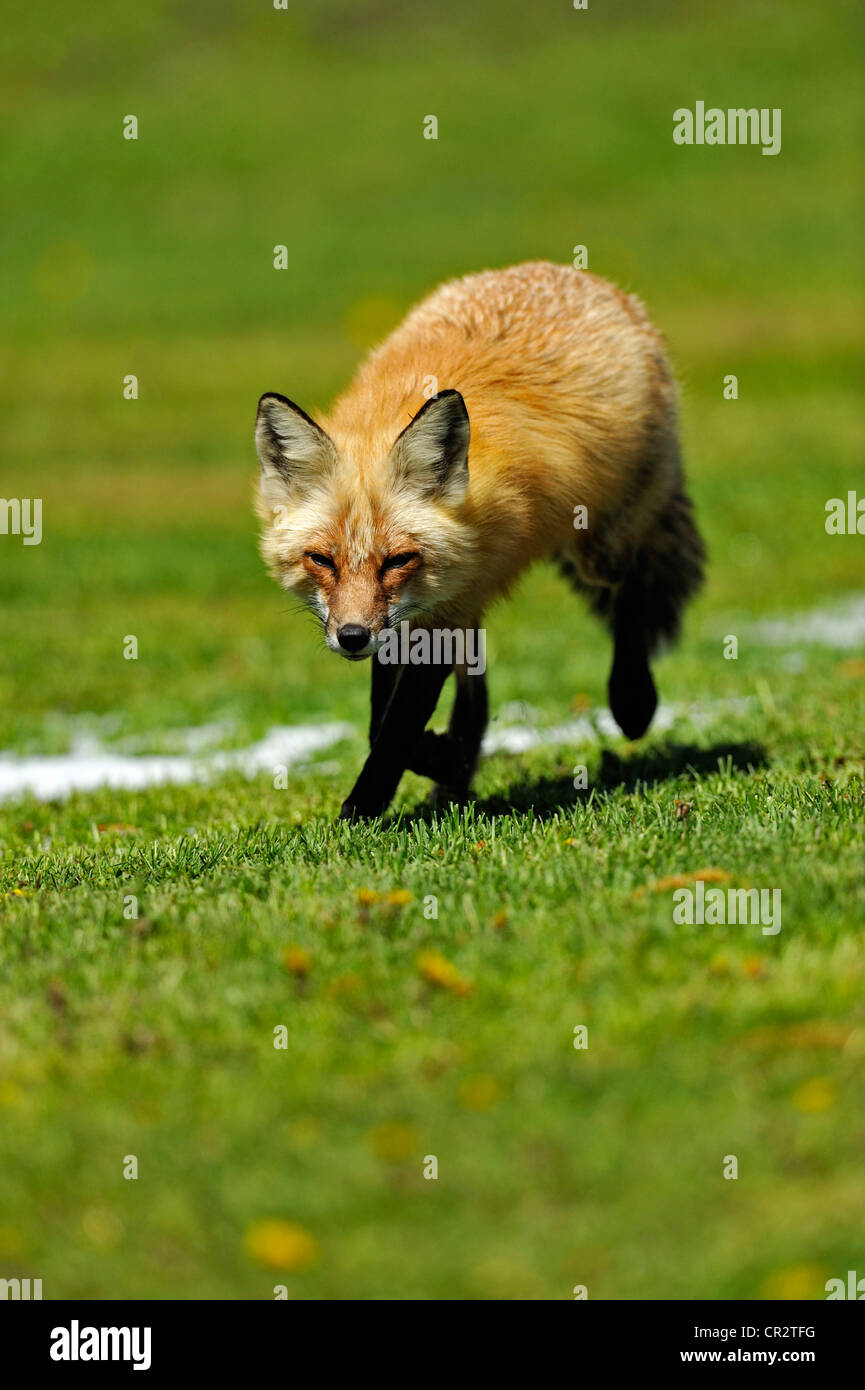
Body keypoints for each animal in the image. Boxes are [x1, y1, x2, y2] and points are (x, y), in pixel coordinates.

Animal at [254, 261, 704, 820]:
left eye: (398, 560)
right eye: (321, 559)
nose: (352, 637)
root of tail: (579, 275)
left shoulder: (441, 609)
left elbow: (396, 729)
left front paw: (362, 810)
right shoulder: (424, 612)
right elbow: (382, 719)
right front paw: (446, 758)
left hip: (601, 543)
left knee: (633, 591)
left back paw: (633, 700)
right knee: (478, 692)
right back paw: (459, 768)